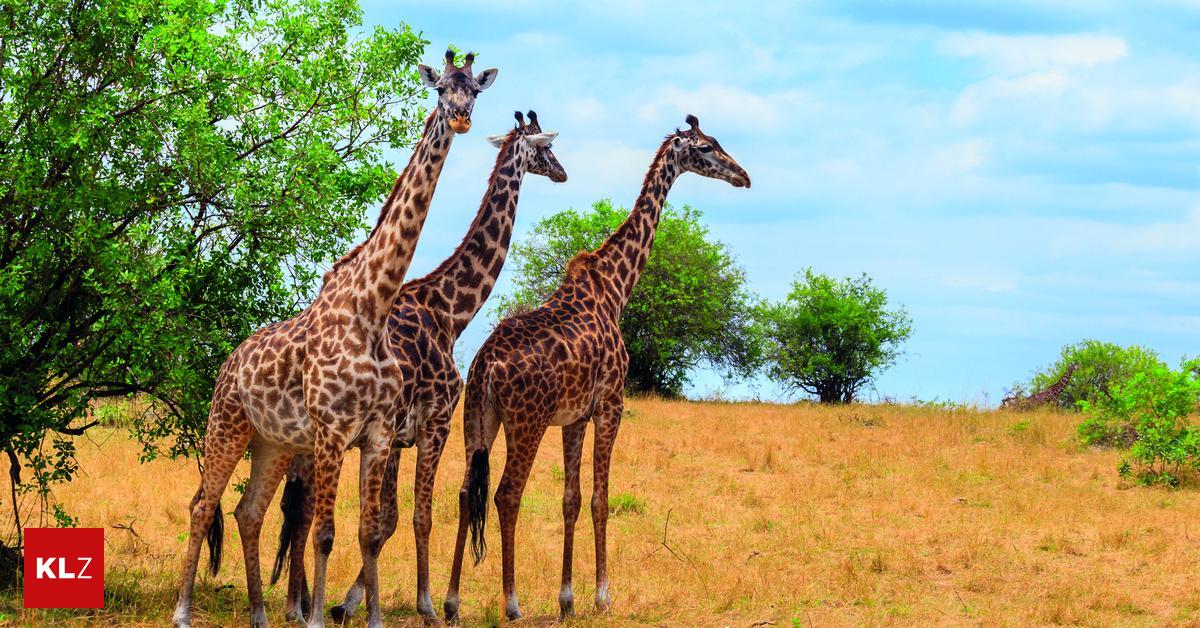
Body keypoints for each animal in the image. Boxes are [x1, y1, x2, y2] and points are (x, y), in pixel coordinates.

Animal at [171, 49, 497, 628]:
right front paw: (318, 615)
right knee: (203, 505)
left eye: (474, 91)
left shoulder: (378, 434)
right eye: (440, 89)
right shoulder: (332, 430)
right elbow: (324, 533)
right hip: (226, 426)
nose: (460, 118)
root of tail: (229, 362)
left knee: (247, 512)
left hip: (272, 442)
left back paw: (259, 616)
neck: (372, 308)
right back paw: (183, 612)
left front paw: (370, 617)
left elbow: (368, 531)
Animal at [273, 111, 567, 623]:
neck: (450, 311)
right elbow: (418, 515)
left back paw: (300, 602)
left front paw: (349, 601)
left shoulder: (395, 436)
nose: (563, 173)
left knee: (297, 509)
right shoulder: (435, 422)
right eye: (546, 148)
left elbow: (385, 519)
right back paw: (298, 605)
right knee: (303, 510)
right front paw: (426, 604)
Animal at [443, 115, 750, 623]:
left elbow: (570, 499)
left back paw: (450, 602)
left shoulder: (573, 418)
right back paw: (511, 603)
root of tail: (486, 365)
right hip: (526, 421)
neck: (616, 287)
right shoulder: (611, 404)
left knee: (468, 491)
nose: (743, 176)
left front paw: (567, 598)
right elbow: (600, 499)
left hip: (476, 418)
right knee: (506, 493)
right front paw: (603, 595)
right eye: (706, 148)